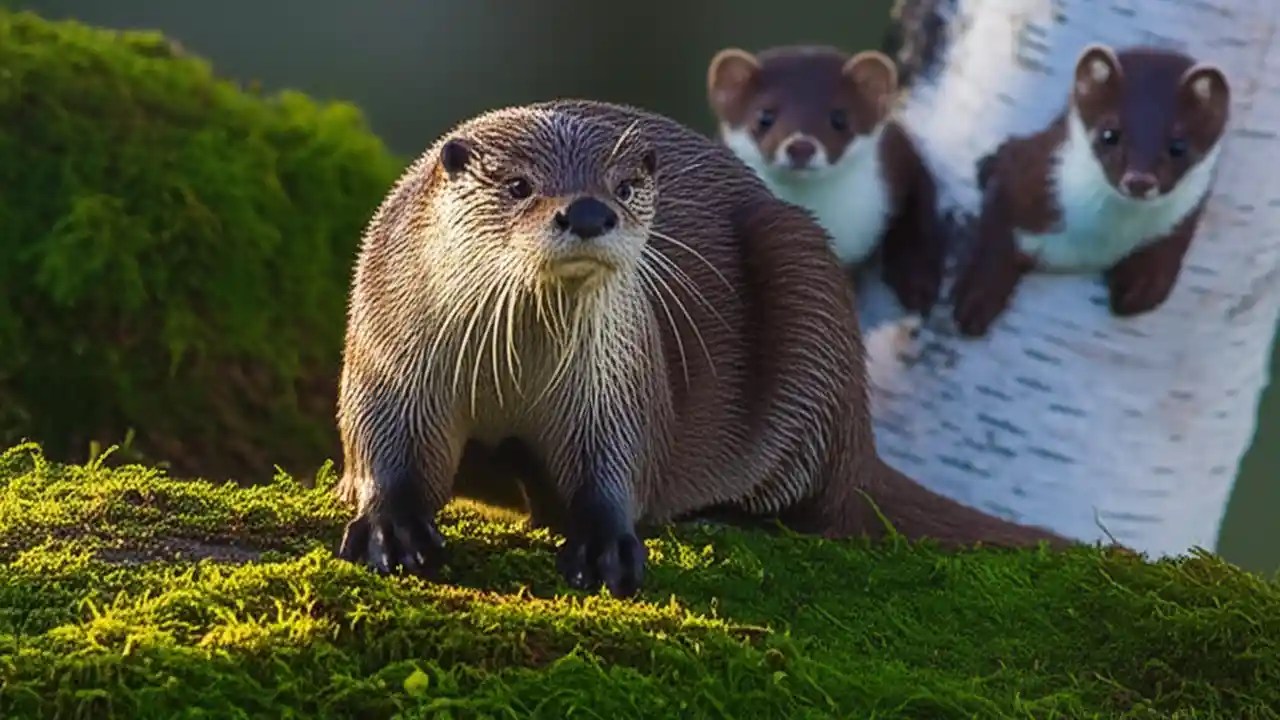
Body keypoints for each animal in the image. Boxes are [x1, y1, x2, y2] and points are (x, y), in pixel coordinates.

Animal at [334, 99, 1070, 598]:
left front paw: (606, 547)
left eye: (624, 187)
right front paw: (393, 529)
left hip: (805, 281)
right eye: (519, 185)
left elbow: (617, 463)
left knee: (822, 505)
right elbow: (385, 444)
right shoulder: (389, 353)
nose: (590, 212)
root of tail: (860, 437)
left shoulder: (619, 381)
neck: (510, 371)